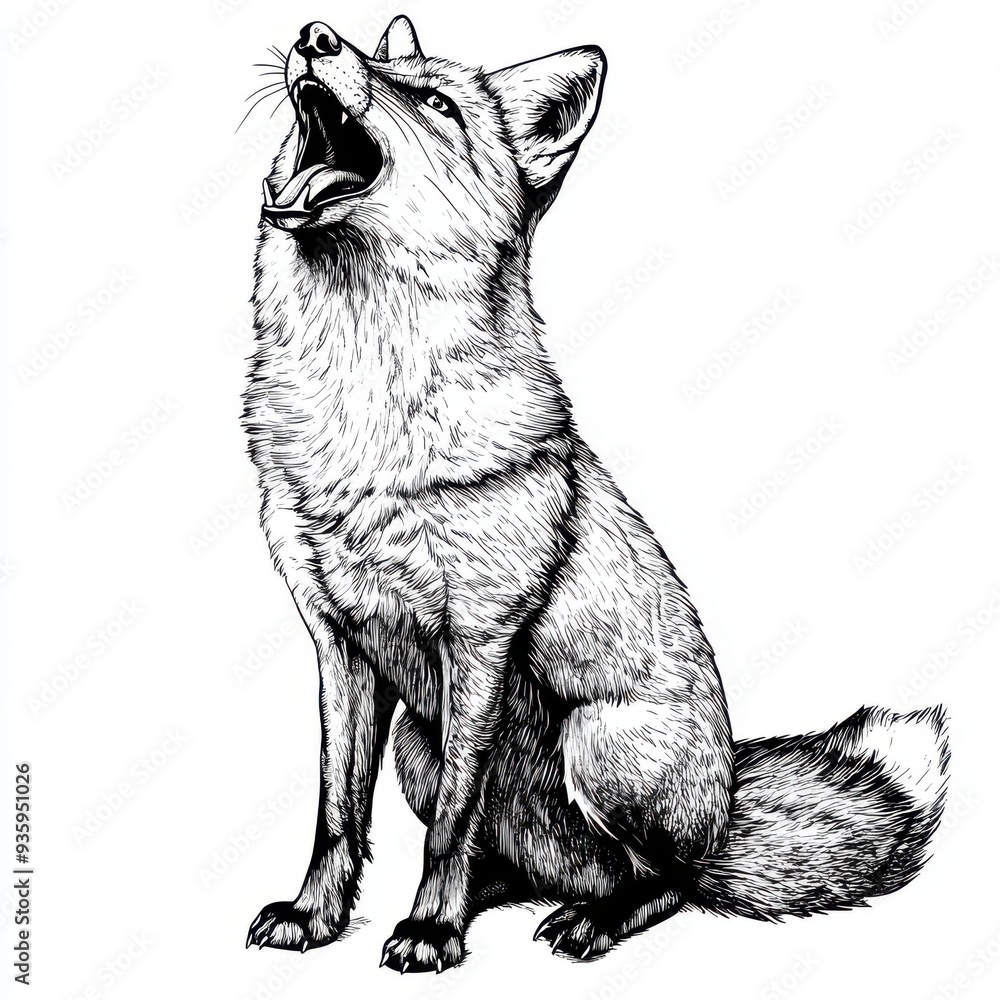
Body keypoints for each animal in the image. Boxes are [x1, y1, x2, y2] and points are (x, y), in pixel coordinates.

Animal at [242, 15, 949, 973]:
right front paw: (319, 918)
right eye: (380, 65)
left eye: (433, 101)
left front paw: (431, 933)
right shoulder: (340, 645)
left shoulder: (479, 640)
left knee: (665, 884)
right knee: (519, 862)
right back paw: (508, 897)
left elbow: (450, 826)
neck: (362, 428)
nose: (317, 35)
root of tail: (728, 802)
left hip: (599, 750)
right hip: (419, 748)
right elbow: (337, 813)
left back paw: (588, 921)